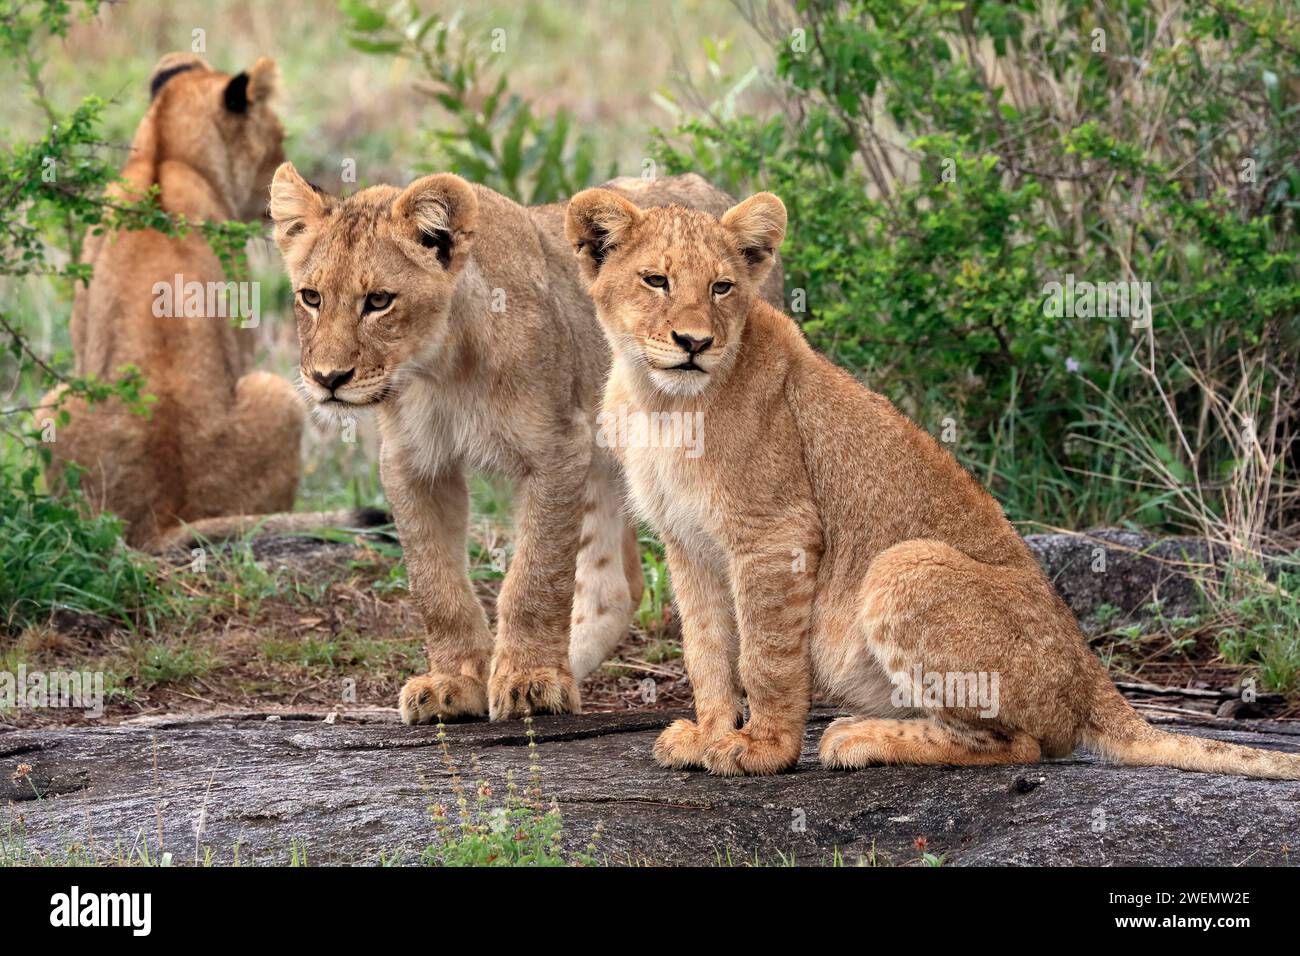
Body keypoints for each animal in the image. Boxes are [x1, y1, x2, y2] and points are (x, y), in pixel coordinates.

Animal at [268, 163, 783, 722]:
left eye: (379, 301)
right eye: (311, 297)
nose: (328, 379)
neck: (440, 368)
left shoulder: (556, 448)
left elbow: (536, 575)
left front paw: (529, 679)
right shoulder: (414, 464)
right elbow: (436, 584)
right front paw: (456, 682)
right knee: (614, 587)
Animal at [565, 186, 1300, 779]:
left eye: (722, 288)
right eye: (655, 280)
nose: (694, 343)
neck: (664, 406)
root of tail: (1094, 679)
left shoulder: (776, 532)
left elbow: (766, 657)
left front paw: (762, 750)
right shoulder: (688, 544)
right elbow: (708, 652)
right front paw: (710, 735)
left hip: (905, 563)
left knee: (1024, 745)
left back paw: (859, 737)